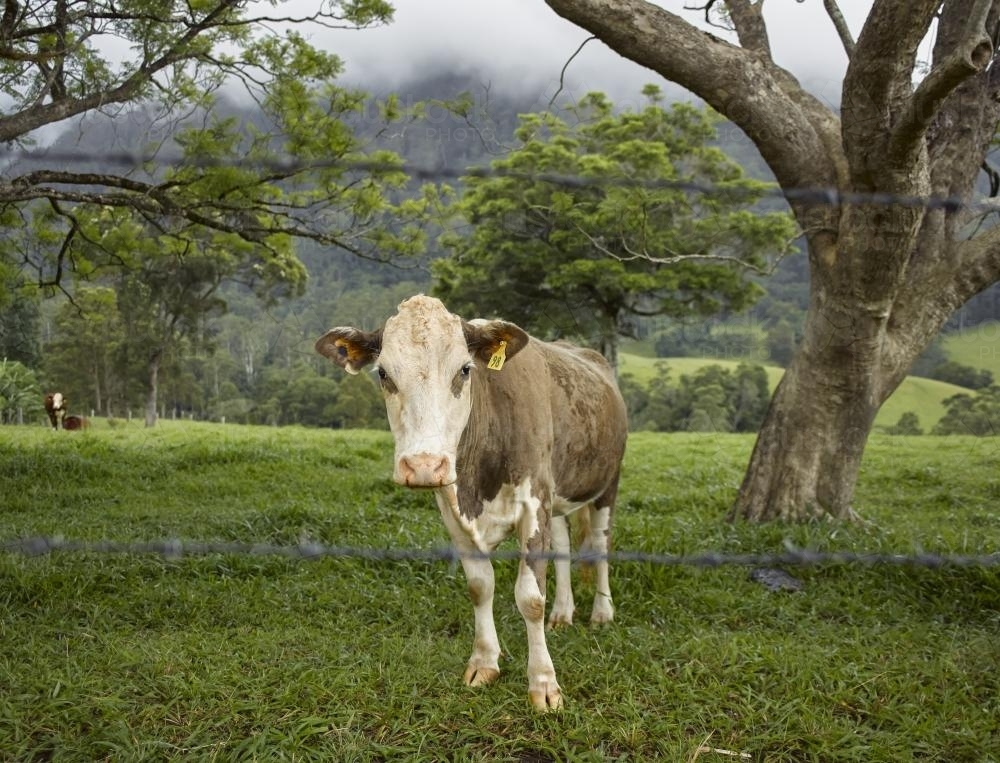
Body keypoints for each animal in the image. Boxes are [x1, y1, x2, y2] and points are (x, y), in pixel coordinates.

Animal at [315, 295, 628, 711]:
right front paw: (484, 663)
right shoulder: (454, 511)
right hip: (559, 494)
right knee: (563, 543)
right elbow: (480, 586)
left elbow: (530, 597)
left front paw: (544, 683)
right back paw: (563, 613)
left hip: (608, 482)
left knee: (601, 542)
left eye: (465, 370)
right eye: (382, 373)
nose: (424, 464)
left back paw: (602, 612)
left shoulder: (534, 503)